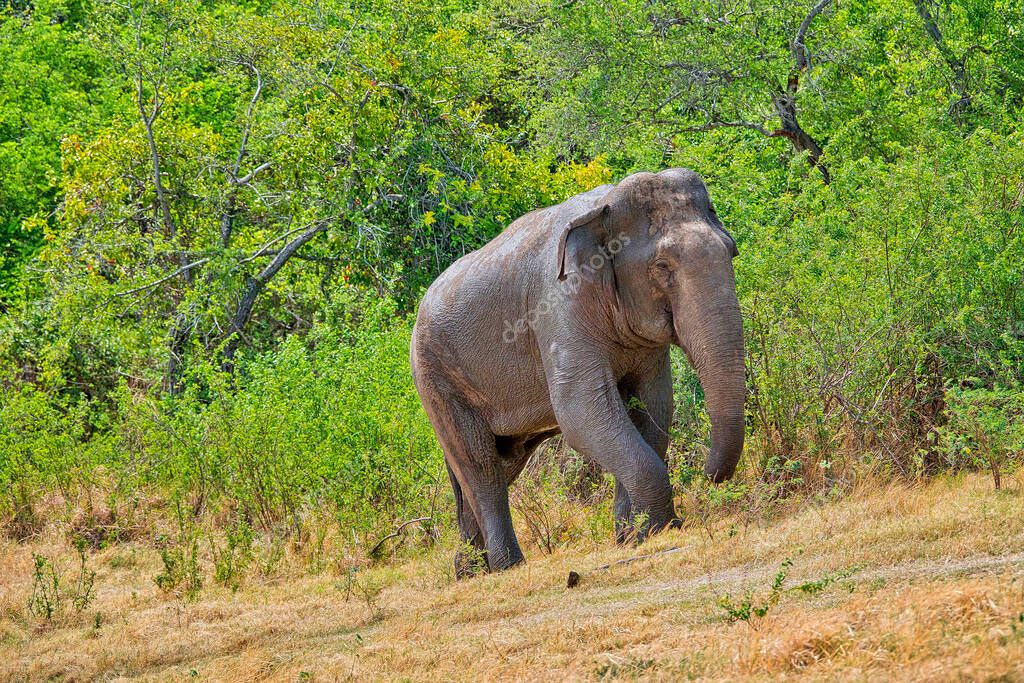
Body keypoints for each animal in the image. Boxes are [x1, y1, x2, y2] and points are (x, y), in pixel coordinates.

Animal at [410, 168, 745, 577]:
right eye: (662, 267)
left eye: (731, 251)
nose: (708, 475)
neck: (606, 206)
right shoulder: (558, 303)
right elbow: (581, 411)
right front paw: (662, 530)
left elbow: (653, 406)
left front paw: (633, 538)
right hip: (436, 378)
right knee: (481, 466)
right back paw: (507, 568)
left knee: (500, 465)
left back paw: (470, 572)